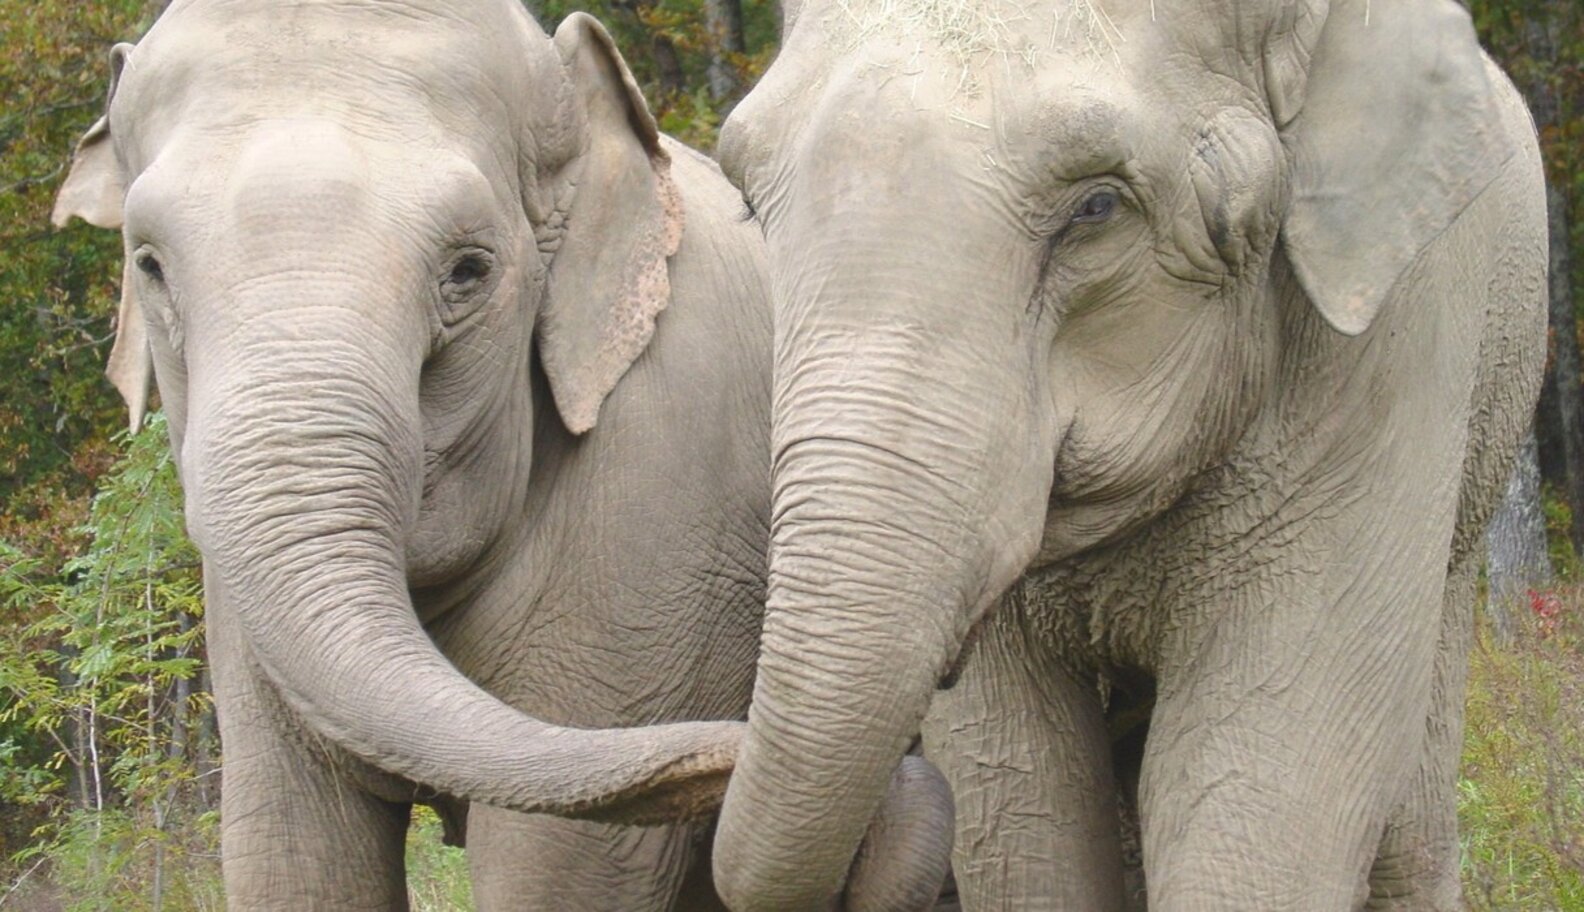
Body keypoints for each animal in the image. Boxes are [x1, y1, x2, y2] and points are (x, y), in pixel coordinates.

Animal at [52, 1, 954, 908]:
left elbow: (561, 863)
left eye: (468, 271)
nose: (734, 751)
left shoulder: (668, 514)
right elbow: (294, 845)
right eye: (149, 264)